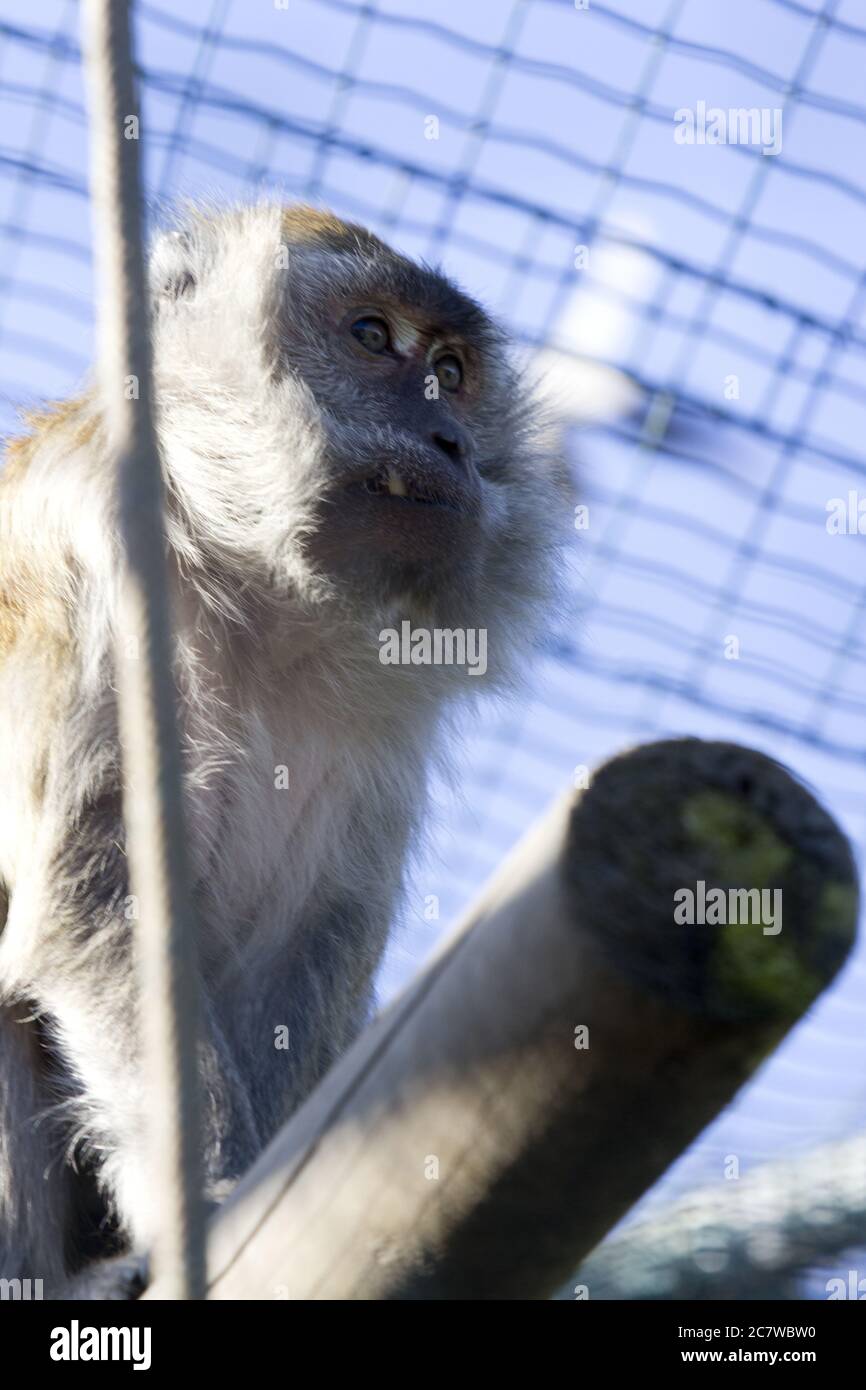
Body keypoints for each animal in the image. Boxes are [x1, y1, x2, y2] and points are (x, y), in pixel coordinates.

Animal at [0, 203, 567, 1296]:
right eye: (372, 337)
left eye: (452, 370)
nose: (447, 438)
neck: (256, 584)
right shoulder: (87, 553)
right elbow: (94, 903)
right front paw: (212, 1200)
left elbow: (311, 937)